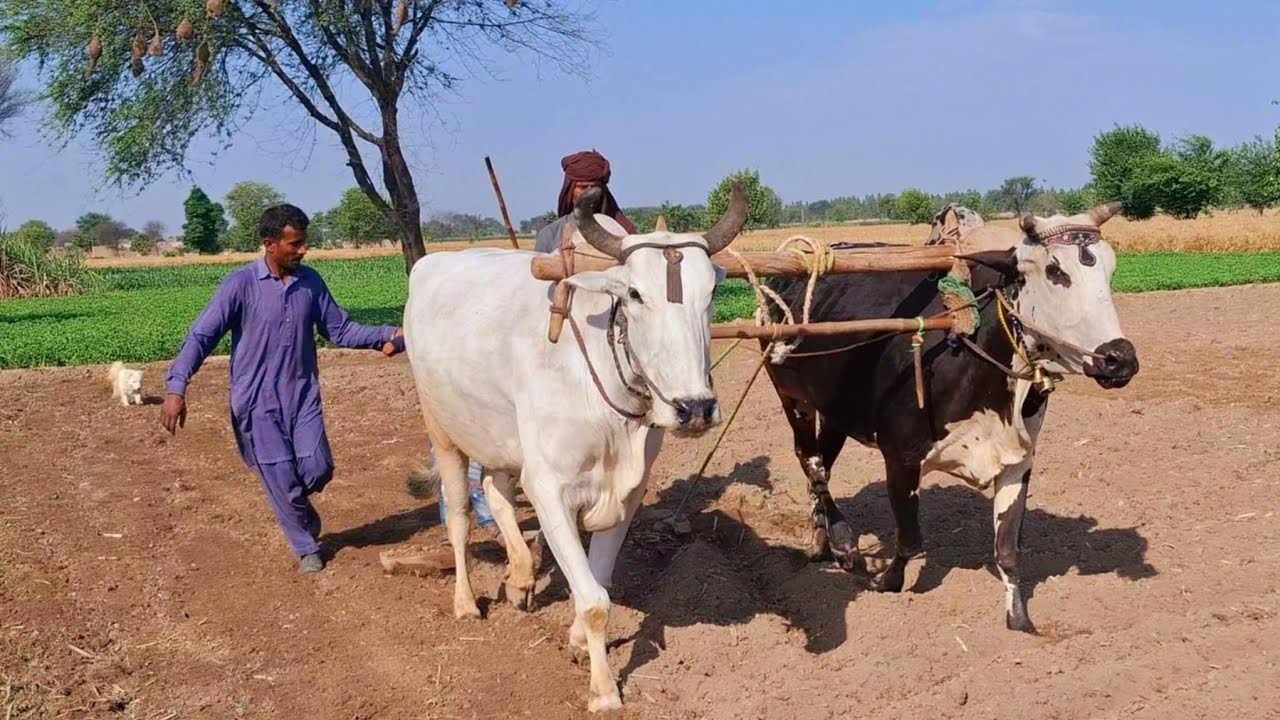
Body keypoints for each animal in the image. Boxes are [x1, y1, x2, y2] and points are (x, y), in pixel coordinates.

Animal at [402, 183, 748, 711]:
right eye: (633, 293)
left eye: (710, 293)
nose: (694, 407)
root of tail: (429, 266)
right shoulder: (550, 490)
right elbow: (594, 603)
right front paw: (604, 691)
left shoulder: (628, 494)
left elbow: (598, 582)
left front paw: (577, 641)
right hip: (442, 433)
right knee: (460, 518)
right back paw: (465, 602)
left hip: (502, 439)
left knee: (497, 493)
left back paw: (521, 576)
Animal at [759, 203, 1139, 633]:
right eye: (1055, 270)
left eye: (1110, 268)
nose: (1119, 358)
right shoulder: (901, 457)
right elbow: (910, 540)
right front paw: (885, 582)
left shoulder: (1018, 462)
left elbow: (1007, 549)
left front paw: (1020, 622)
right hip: (792, 396)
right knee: (811, 461)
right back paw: (842, 544)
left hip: (836, 409)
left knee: (822, 464)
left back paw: (822, 544)